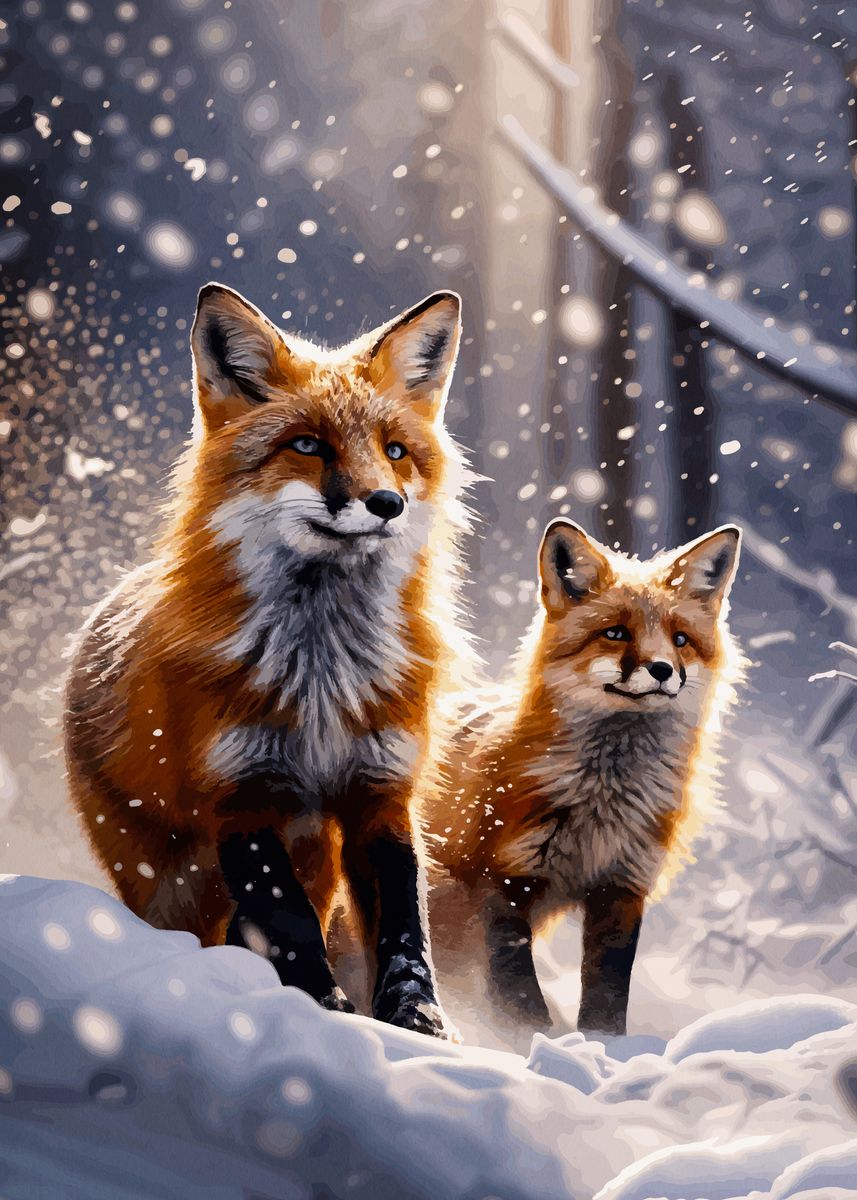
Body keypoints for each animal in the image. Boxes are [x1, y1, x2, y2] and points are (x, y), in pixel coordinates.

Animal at [64, 282, 475, 1038]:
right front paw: (324, 1012)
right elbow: (286, 921)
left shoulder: (381, 789)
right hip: (169, 881)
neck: (321, 676)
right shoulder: (242, 791)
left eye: (395, 450)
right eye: (308, 445)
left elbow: (405, 924)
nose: (387, 503)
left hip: (313, 853)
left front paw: (420, 1023)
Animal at [429, 518, 742, 1043]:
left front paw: (603, 1046)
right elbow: (518, 994)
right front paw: (523, 1042)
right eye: (615, 633)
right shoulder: (504, 879)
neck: (602, 803)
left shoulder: (622, 887)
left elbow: (607, 993)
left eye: (679, 639)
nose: (662, 670)